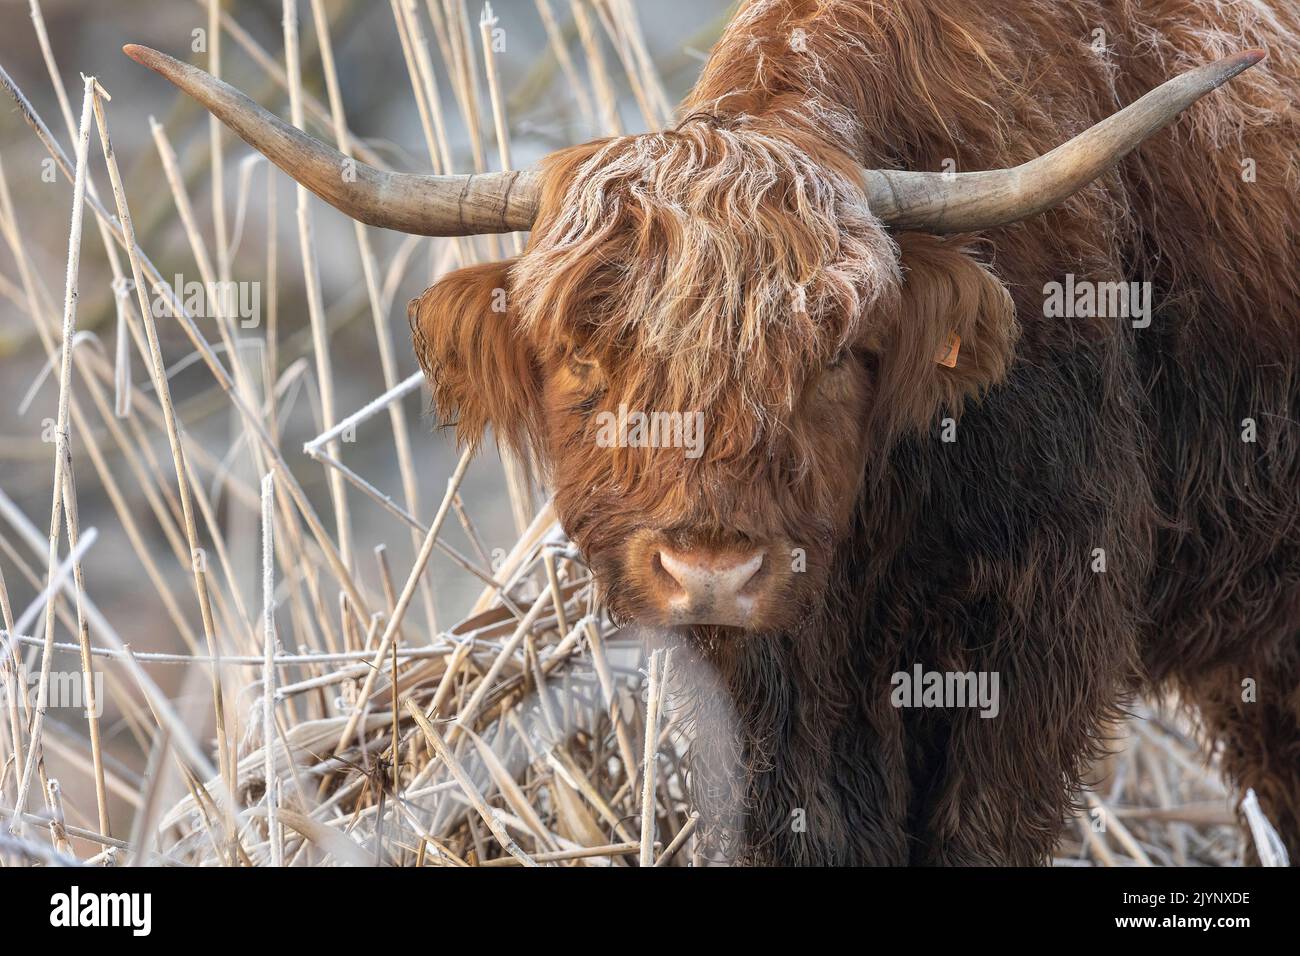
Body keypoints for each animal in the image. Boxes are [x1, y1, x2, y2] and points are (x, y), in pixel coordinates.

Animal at [127, 0, 1300, 865]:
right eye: (585, 357)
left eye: (836, 351)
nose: (714, 567)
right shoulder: (773, 686)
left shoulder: (1042, 624)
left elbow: (977, 829)